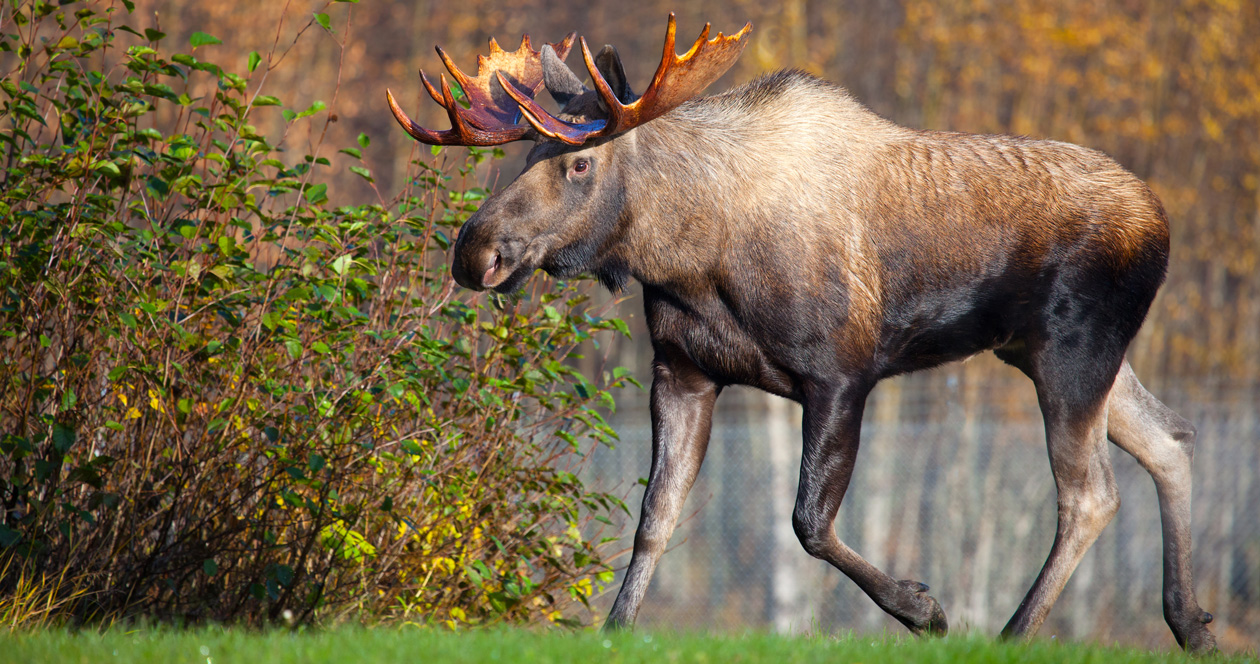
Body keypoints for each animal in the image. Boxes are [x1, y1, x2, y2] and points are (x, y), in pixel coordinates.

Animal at [385, 15, 1216, 652]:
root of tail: (1162, 219)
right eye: (527, 152)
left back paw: (1016, 634)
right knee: (1170, 438)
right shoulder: (683, 371)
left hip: (1073, 345)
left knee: (1091, 492)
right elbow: (655, 518)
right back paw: (1191, 624)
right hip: (1049, 351)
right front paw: (615, 631)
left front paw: (924, 608)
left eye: (581, 162)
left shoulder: (842, 373)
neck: (690, 257)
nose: (474, 251)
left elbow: (808, 521)